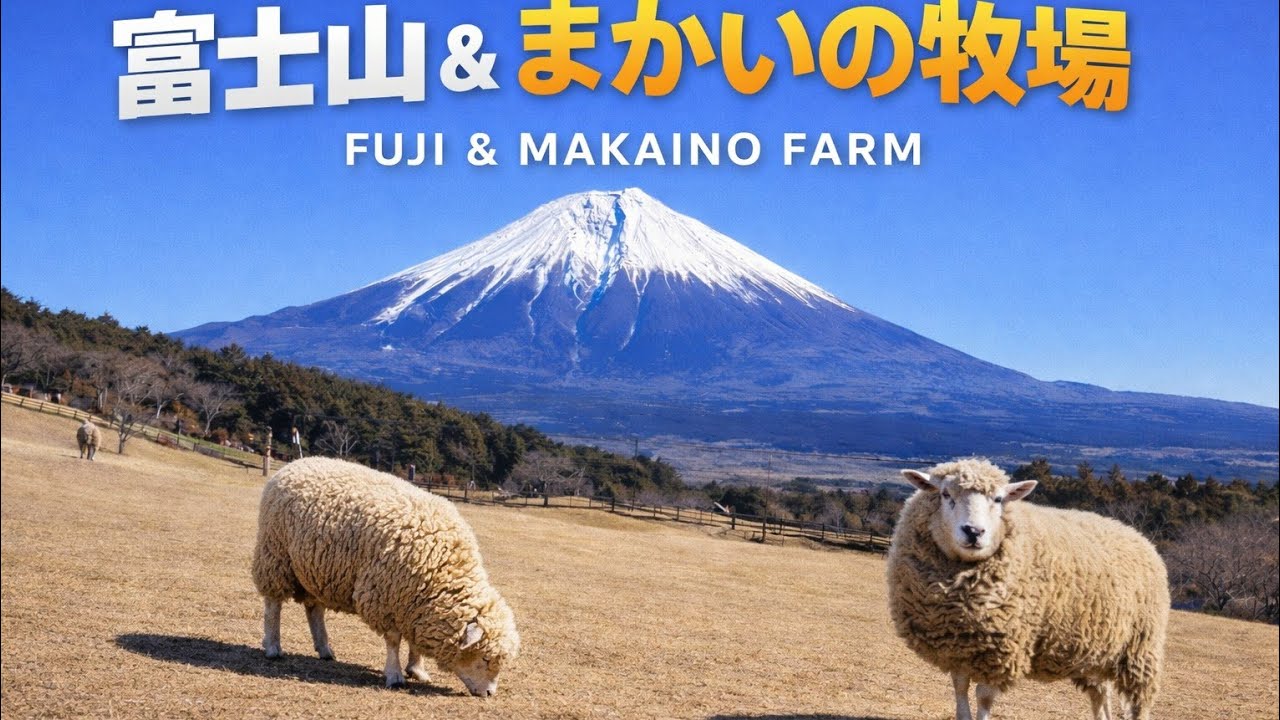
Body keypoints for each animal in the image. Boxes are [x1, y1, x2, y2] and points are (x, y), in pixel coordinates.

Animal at [251, 457, 520, 697]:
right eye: (485, 658)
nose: (489, 694)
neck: (442, 570)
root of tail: (295, 463)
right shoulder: (385, 597)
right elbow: (393, 641)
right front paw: (395, 675)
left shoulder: (414, 603)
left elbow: (413, 641)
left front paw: (417, 669)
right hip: (274, 554)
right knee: (273, 604)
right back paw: (273, 647)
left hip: (314, 567)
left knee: (314, 608)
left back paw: (325, 649)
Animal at [886, 458, 1168, 720]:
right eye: (946, 494)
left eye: (999, 499)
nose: (974, 531)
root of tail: (1136, 534)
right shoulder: (958, 646)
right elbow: (960, 689)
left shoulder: (1002, 646)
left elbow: (984, 697)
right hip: (1098, 650)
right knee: (1101, 697)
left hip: (1140, 650)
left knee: (1138, 704)